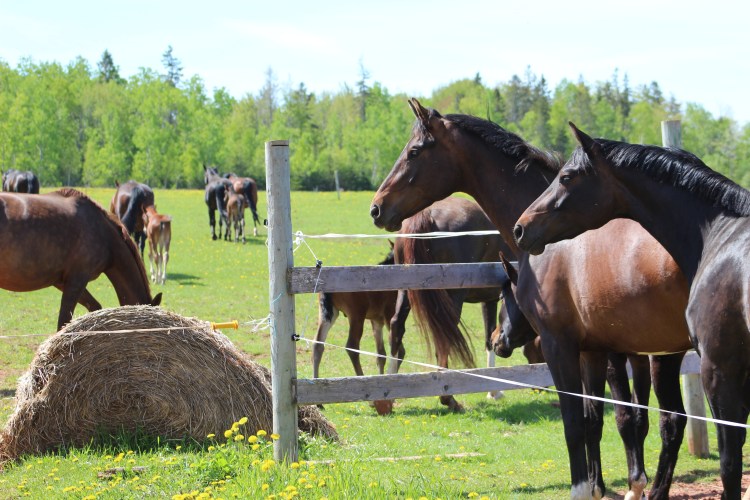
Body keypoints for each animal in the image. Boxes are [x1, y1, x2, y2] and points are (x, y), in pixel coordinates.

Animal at [370, 99, 691, 500]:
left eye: (413, 152)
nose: (377, 207)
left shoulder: (578, 347)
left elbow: (600, 417)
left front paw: (605, 485)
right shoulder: (596, 350)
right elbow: (597, 416)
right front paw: (605, 484)